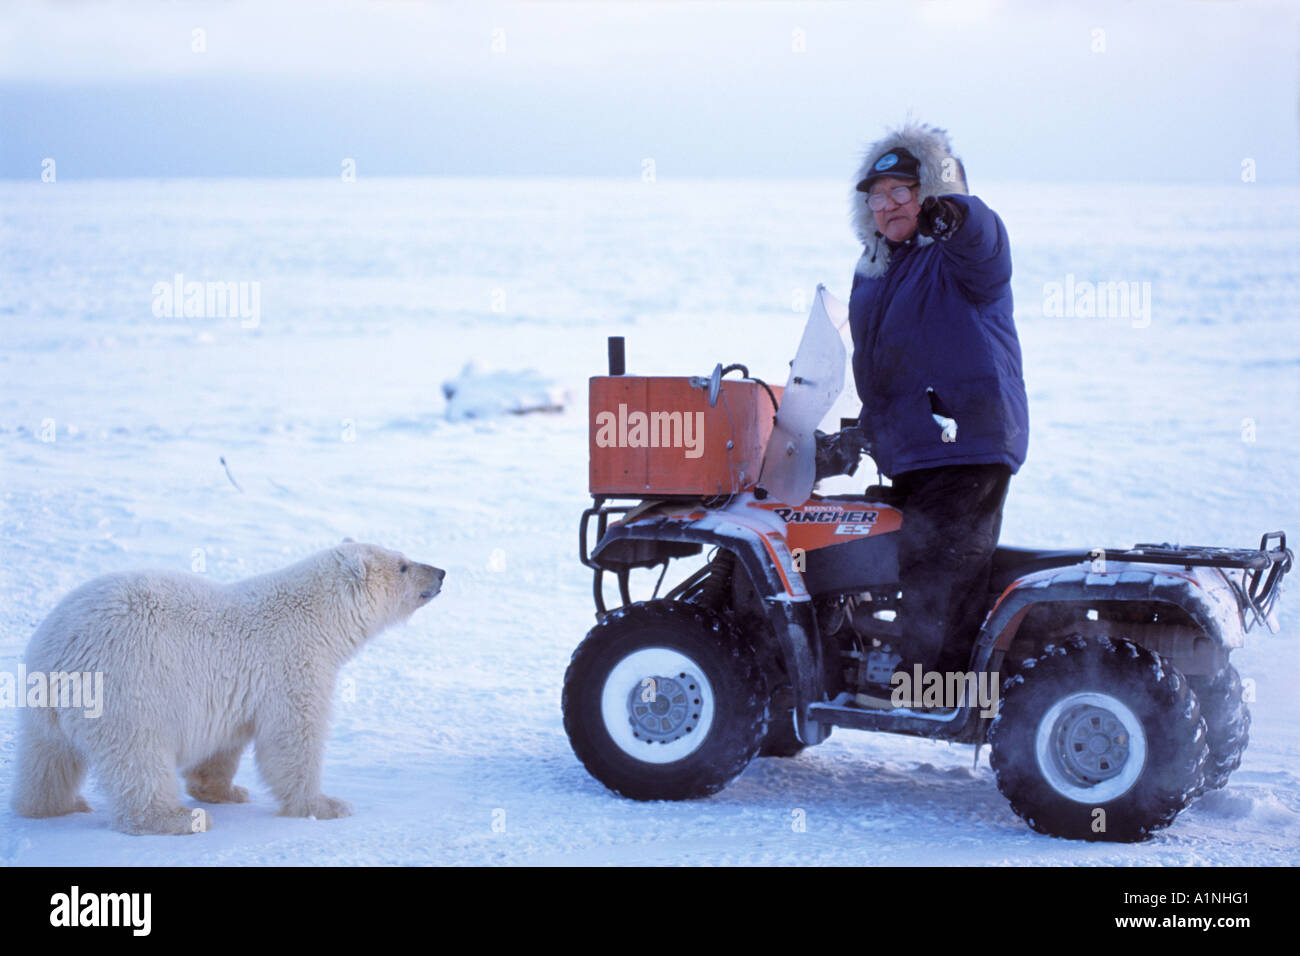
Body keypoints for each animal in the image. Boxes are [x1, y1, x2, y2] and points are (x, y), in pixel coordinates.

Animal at [10, 541, 444, 835]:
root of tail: (58, 655)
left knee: (45, 757)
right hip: (128, 688)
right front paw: (327, 804)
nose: (440, 572)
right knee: (139, 757)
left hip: (40, 702)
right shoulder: (292, 666)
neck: (316, 618)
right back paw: (178, 818)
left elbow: (224, 745)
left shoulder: (231, 689)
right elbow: (292, 740)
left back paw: (53, 805)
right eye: (404, 565)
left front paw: (226, 791)